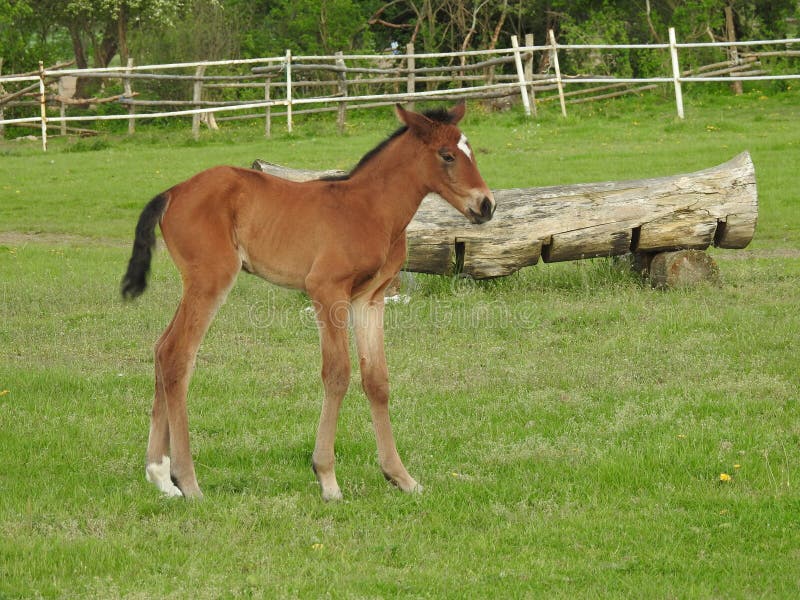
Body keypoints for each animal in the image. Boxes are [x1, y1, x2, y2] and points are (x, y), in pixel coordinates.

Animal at [121, 103, 495, 501]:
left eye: (470, 151)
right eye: (447, 155)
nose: (486, 205)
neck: (371, 208)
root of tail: (172, 192)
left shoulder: (370, 299)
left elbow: (377, 380)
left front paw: (400, 477)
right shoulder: (326, 291)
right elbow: (338, 373)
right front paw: (327, 479)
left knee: (162, 349)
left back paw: (160, 475)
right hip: (210, 279)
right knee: (178, 353)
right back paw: (188, 481)